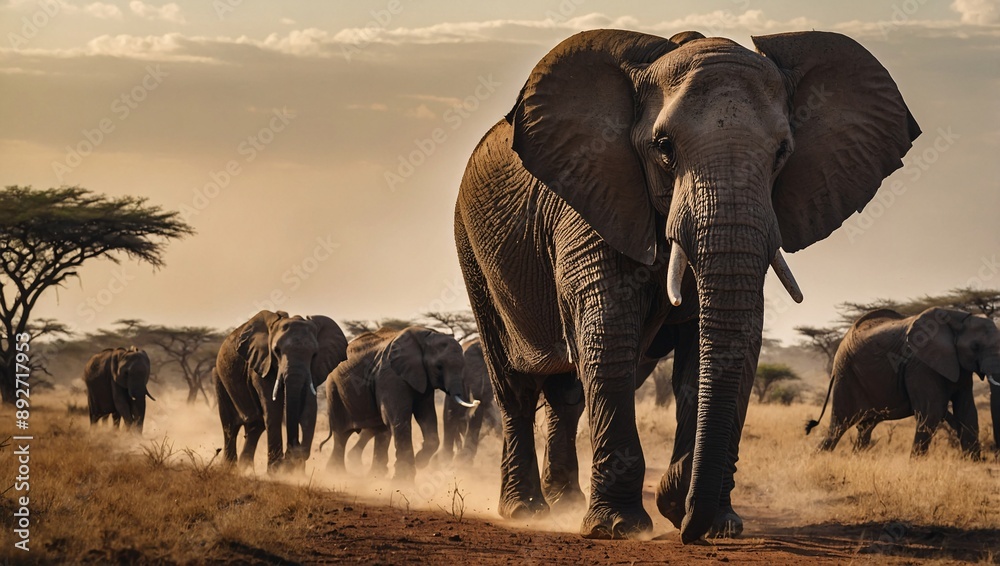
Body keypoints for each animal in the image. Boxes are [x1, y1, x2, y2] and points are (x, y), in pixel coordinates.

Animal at [215, 310, 348, 472]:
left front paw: (295, 469)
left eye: (314, 354)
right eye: (276, 351)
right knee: (230, 425)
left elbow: (309, 408)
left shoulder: (313, 370)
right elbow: (273, 409)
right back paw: (230, 469)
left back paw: (244, 469)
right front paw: (277, 472)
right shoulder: (262, 363)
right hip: (219, 377)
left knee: (255, 426)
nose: (291, 450)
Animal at [320, 327, 479, 482]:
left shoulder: (423, 380)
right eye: (439, 367)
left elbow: (426, 416)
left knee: (381, 431)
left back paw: (375, 476)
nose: (476, 401)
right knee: (341, 434)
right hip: (333, 389)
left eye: (463, 366)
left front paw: (419, 462)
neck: (427, 334)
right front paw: (404, 479)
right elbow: (398, 418)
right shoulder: (391, 375)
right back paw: (336, 474)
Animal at [454, 29, 919, 542]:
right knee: (516, 387)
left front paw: (706, 518)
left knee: (568, 394)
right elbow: (609, 331)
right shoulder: (591, 194)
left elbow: (718, 346)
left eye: (782, 152)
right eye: (664, 147)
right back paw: (527, 511)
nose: (693, 529)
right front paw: (621, 527)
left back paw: (565, 505)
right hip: (472, 251)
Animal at [807, 308, 1000, 458]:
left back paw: (856, 459)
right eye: (975, 346)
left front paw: (973, 462)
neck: (959, 318)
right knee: (839, 425)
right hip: (846, 375)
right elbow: (931, 412)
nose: (995, 454)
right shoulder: (920, 364)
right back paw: (817, 460)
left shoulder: (960, 366)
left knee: (865, 427)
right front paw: (916, 465)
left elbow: (967, 411)